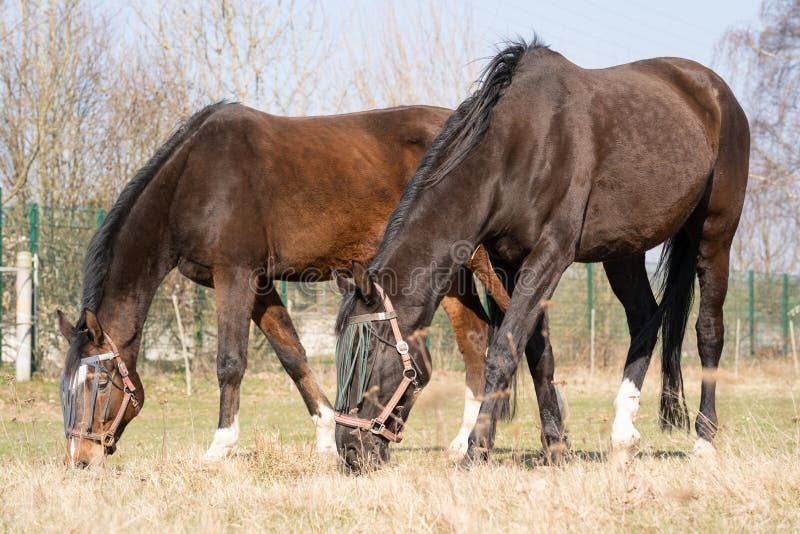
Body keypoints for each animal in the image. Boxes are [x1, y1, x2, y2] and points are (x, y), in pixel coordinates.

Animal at [56, 102, 536, 467]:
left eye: (101, 384)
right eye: (66, 387)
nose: (81, 458)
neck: (193, 179)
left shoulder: (235, 275)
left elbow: (230, 361)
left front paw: (219, 446)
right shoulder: (258, 283)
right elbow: (291, 353)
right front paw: (326, 434)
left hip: (474, 261)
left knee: (485, 336)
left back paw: (465, 441)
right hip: (446, 270)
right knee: (475, 336)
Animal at [334, 38, 749, 472]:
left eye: (366, 357)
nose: (349, 450)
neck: (517, 147)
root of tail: (714, 89)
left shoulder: (551, 254)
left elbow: (502, 351)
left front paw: (476, 450)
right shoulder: (509, 262)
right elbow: (537, 353)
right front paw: (555, 446)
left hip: (715, 236)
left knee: (708, 331)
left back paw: (704, 440)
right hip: (623, 251)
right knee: (643, 320)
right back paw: (622, 436)